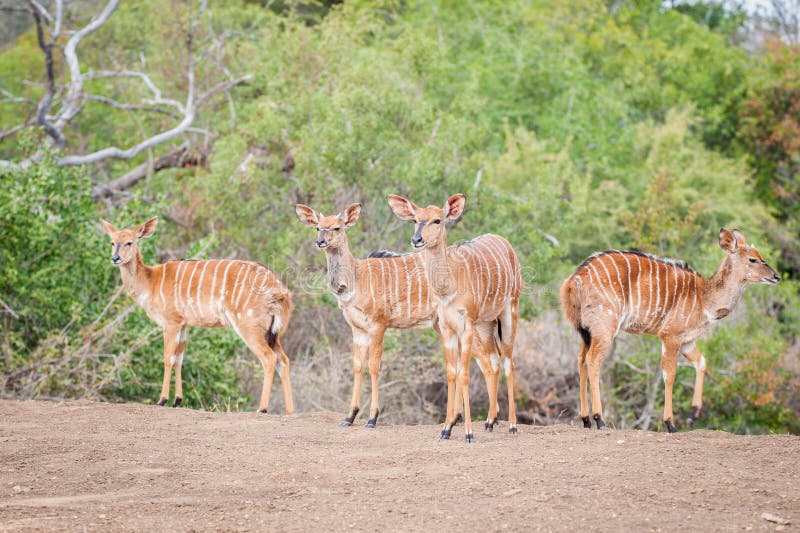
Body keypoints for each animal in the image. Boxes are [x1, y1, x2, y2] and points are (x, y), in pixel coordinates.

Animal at [100, 217, 294, 414]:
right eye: (112, 242)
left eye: (129, 242)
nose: (115, 258)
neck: (150, 281)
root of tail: (280, 291)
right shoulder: (183, 324)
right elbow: (179, 358)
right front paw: (177, 400)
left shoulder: (171, 322)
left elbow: (168, 358)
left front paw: (162, 400)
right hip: (272, 333)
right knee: (283, 360)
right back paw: (289, 411)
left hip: (249, 326)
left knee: (269, 358)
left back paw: (262, 409)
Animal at [294, 202, 503, 433]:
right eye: (318, 227)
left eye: (337, 227)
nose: (320, 242)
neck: (355, 279)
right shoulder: (357, 329)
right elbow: (357, 365)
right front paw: (349, 417)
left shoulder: (378, 324)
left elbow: (373, 365)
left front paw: (372, 418)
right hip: (443, 326)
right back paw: (460, 418)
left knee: (487, 361)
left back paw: (490, 420)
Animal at [388, 194, 522, 443]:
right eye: (415, 220)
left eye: (437, 220)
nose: (417, 239)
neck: (448, 287)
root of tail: (506, 244)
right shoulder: (447, 328)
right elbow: (451, 373)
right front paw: (446, 429)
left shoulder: (466, 326)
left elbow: (464, 374)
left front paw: (468, 432)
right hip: (486, 324)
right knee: (494, 361)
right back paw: (490, 421)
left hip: (509, 313)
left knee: (509, 361)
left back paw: (512, 425)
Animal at [560, 229, 780, 433]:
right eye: (753, 259)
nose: (776, 276)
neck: (705, 298)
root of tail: (573, 280)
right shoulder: (670, 336)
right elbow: (670, 375)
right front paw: (671, 424)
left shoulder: (687, 342)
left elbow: (702, 363)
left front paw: (693, 415)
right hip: (605, 328)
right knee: (593, 360)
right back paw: (600, 419)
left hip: (586, 332)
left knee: (581, 360)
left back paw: (586, 420)